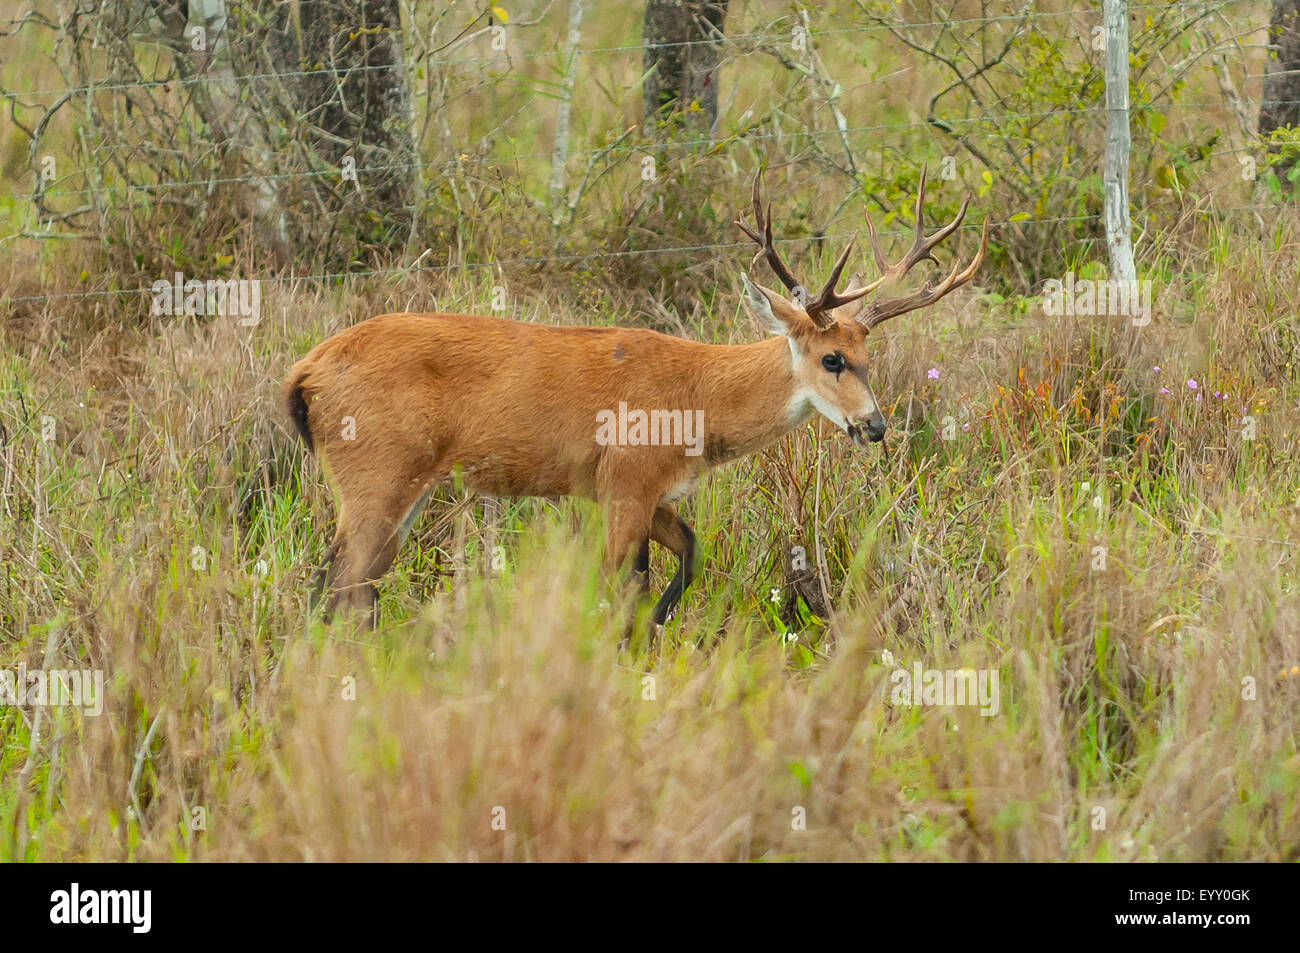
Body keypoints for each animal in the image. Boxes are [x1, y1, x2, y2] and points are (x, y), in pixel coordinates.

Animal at [284, 165, 987, 631]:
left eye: (871, 357)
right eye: (831, 358)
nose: (875, 426)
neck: (698, 397)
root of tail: (304, 372)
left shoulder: (652, 493)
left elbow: (682, 560)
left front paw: (651, 630)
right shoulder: (624, 481)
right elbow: (613, 582)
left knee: (352, 584)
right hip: (376, 470)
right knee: (336, 582)